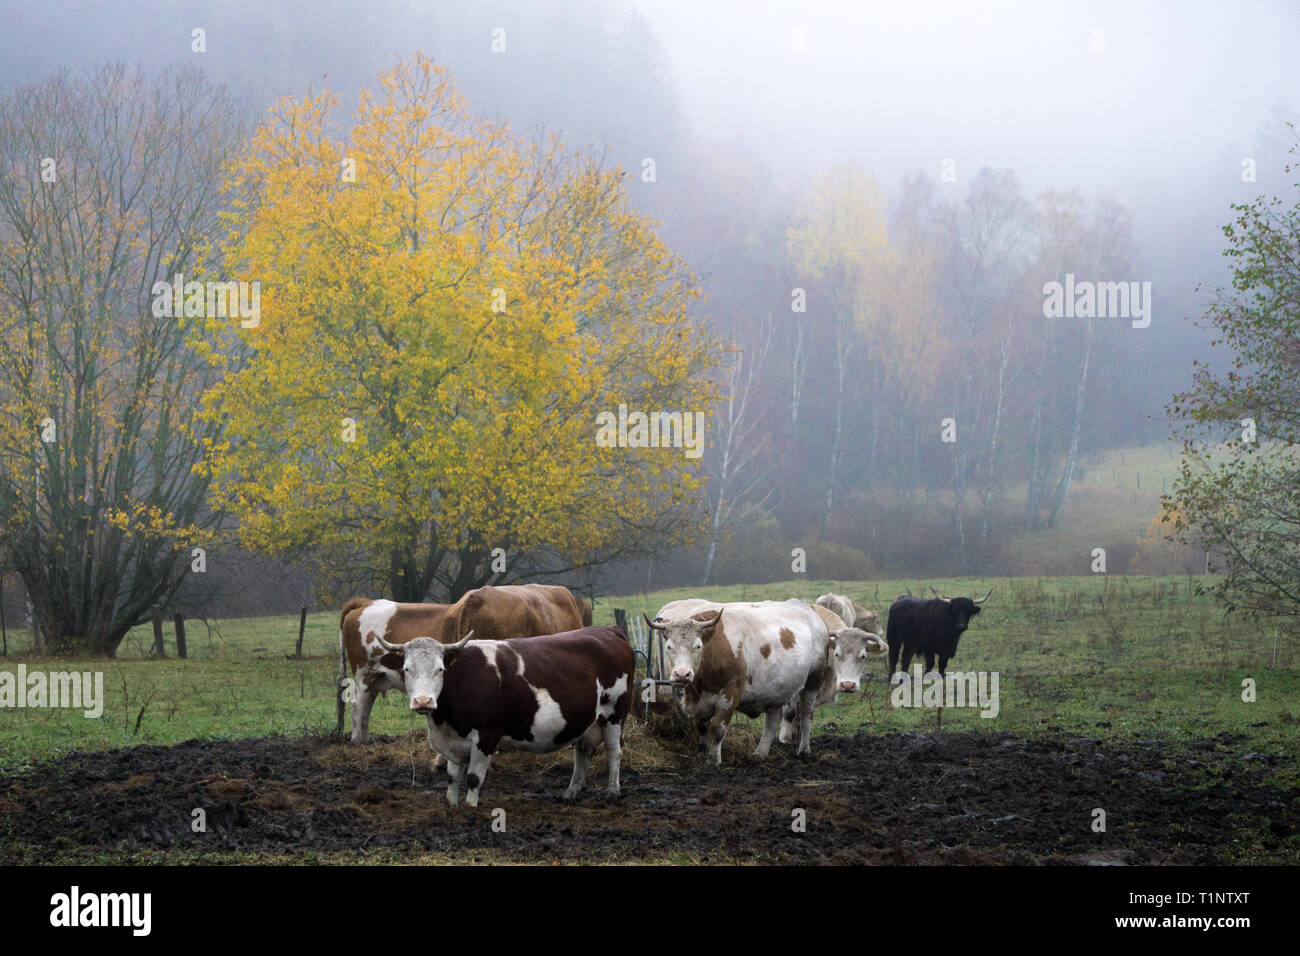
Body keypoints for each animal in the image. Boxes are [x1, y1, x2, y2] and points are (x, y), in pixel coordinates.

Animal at [339, 583, 588, 743]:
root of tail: (365, 603)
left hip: (374, 678)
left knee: (365, 709)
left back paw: (365, 740)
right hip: (364, 675)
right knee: (358, 707)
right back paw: (358, 742)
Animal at [372, 626, 634, 807]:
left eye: (440, 669)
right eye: (406, 669)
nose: (423, 701)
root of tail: (608, 630)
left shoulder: (487, 735)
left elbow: (473, 778)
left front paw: (470, 808)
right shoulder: (453, 740)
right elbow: (452, 777)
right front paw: (451, 805)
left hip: (615, 713)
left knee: (614, 751)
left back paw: (612, 792)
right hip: (585, 720)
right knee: (582, 753)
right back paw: (571, 793)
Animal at [645, 598, 830, 766]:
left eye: (698, 646)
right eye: (669, 647)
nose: (682, 674)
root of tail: (807, 607)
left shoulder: (730, 693)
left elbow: (717, 728)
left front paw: (713, 761)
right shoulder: (701, 702)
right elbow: (703, 728)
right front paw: (702, 752)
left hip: (814, 680)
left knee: (806, 715)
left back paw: (804, 750)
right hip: (775, 689)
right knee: (773, 719)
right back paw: (760, 753)